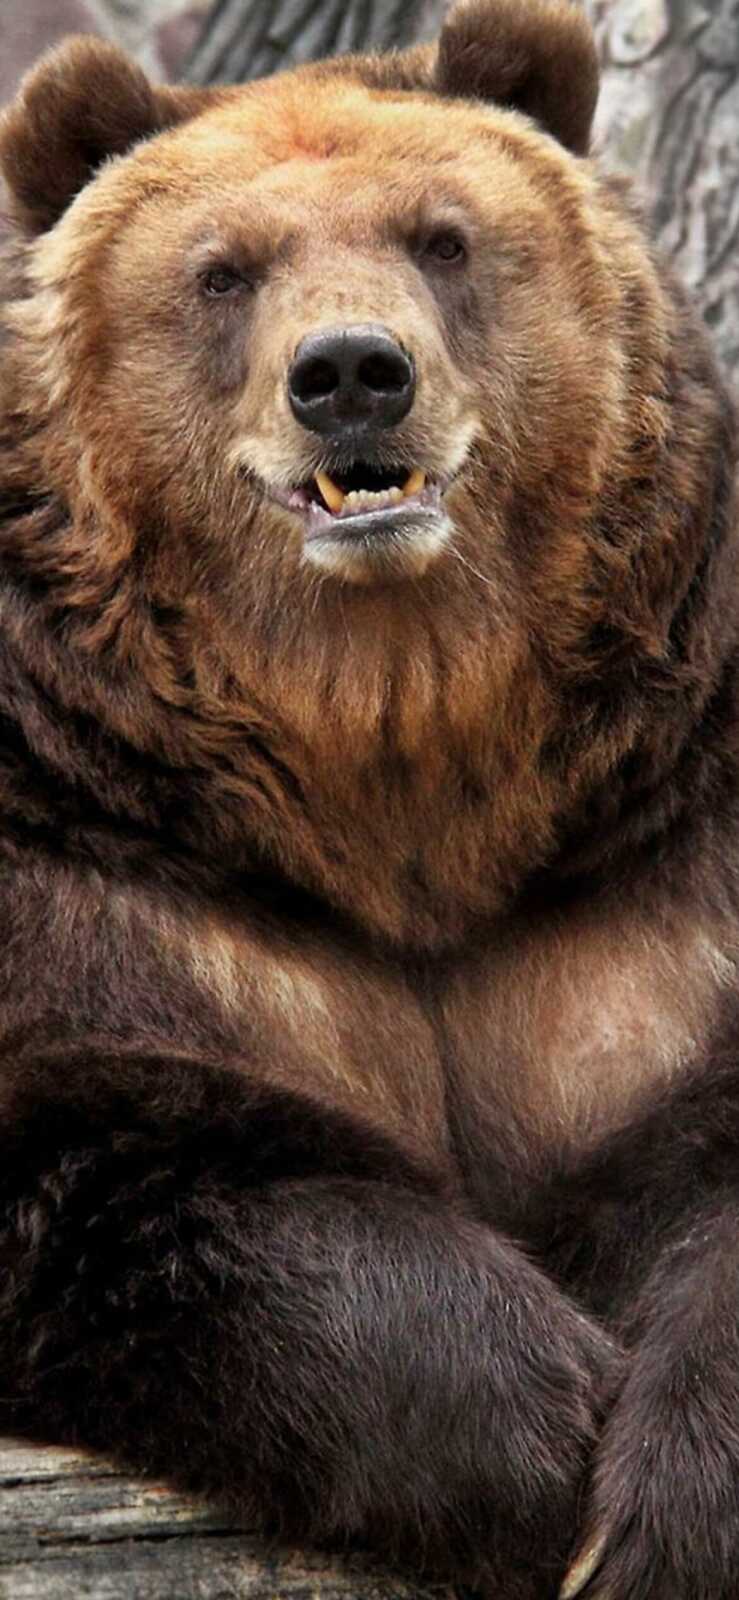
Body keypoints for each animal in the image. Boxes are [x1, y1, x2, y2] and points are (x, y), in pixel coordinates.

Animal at [0, 2, 738, 1596]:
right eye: (222, 271)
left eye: (443, 238)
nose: (349, 372)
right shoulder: (109, 860)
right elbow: (126, 1152)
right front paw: (534, 1438)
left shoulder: (650, 864)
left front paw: (662, 1506)